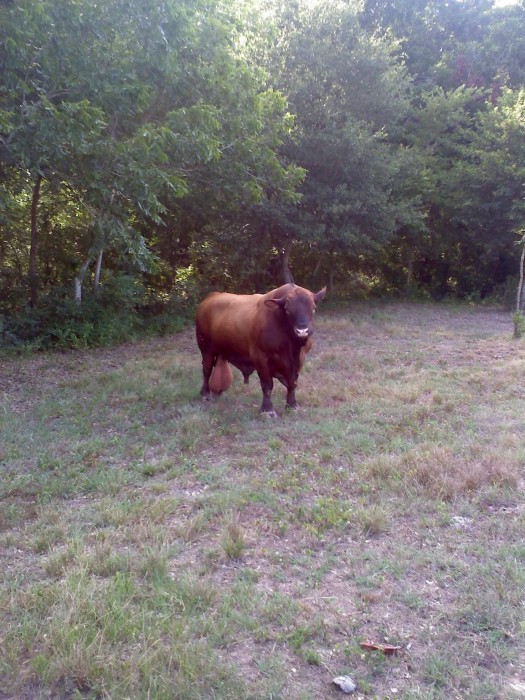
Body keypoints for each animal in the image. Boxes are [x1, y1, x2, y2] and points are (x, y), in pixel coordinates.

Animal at [195, 283, 326, 415]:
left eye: (313, 308)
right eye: (287, 310)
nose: (302, 330)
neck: (292, 345)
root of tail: (212, 296)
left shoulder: (299, 359)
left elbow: (292, 382)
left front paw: (292, 405)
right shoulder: (261, 357)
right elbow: (267, 384)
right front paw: (268, 410)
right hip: (205, 347)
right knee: (206, 369)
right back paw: (205, 394)